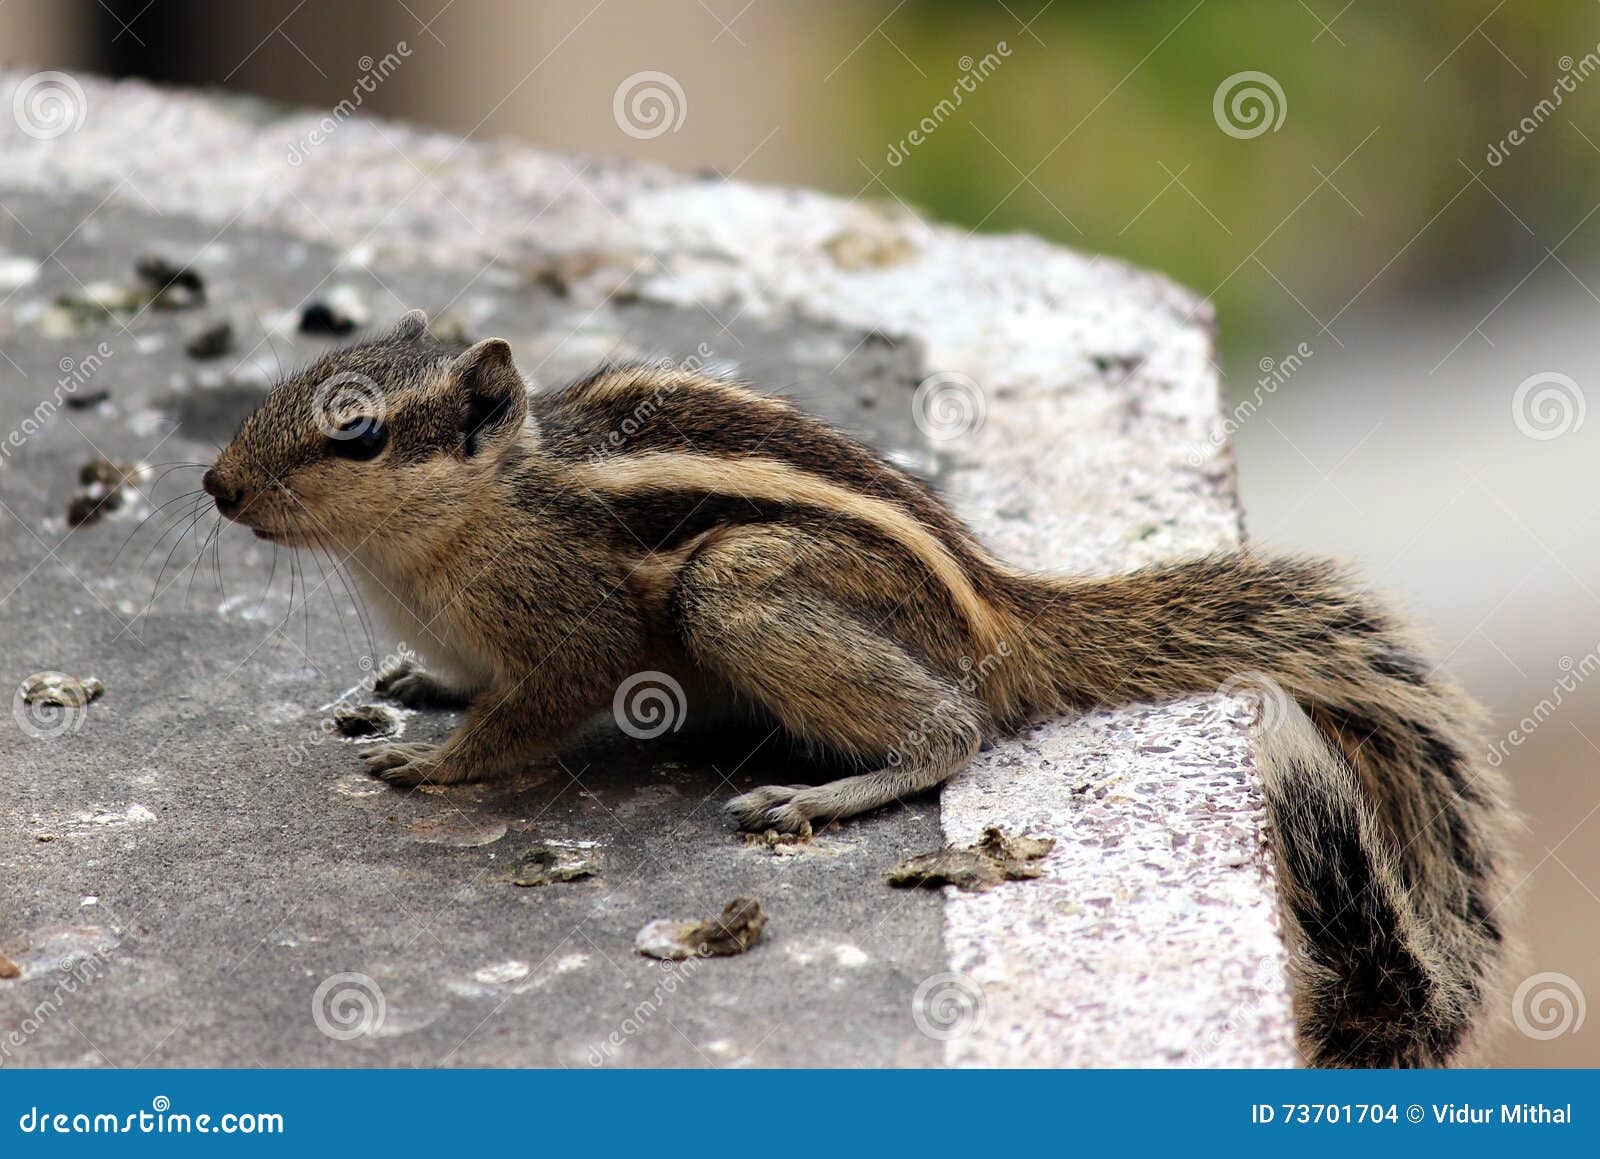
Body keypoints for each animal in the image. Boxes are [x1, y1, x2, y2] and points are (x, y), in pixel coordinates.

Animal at [204, 309, 1515, 1069]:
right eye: (306, 376)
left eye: (357, 431)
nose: (215, 485)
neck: (460, 517)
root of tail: (996, 607)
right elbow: (457, 677)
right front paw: (418, 685)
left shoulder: (567, 622)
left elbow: (531, 707)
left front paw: (435, 758)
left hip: (735, 589)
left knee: (952, 728)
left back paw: (820, 795)